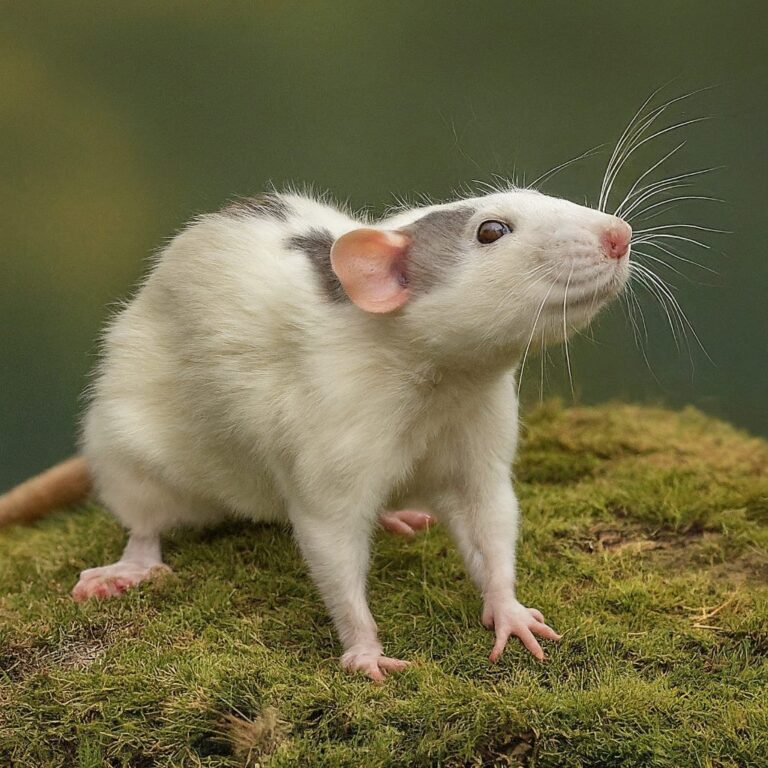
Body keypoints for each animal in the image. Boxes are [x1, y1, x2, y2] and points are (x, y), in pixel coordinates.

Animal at [0, 188, 631, 680]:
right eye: (491, 230)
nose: (620, 235)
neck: (439, 383)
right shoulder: (335, 426)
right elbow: (330, 537)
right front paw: (365, 650)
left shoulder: (477, 426)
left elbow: (490, 516)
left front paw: (509, 611)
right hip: (125, 446)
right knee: (144, 519)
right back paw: (127, 569)